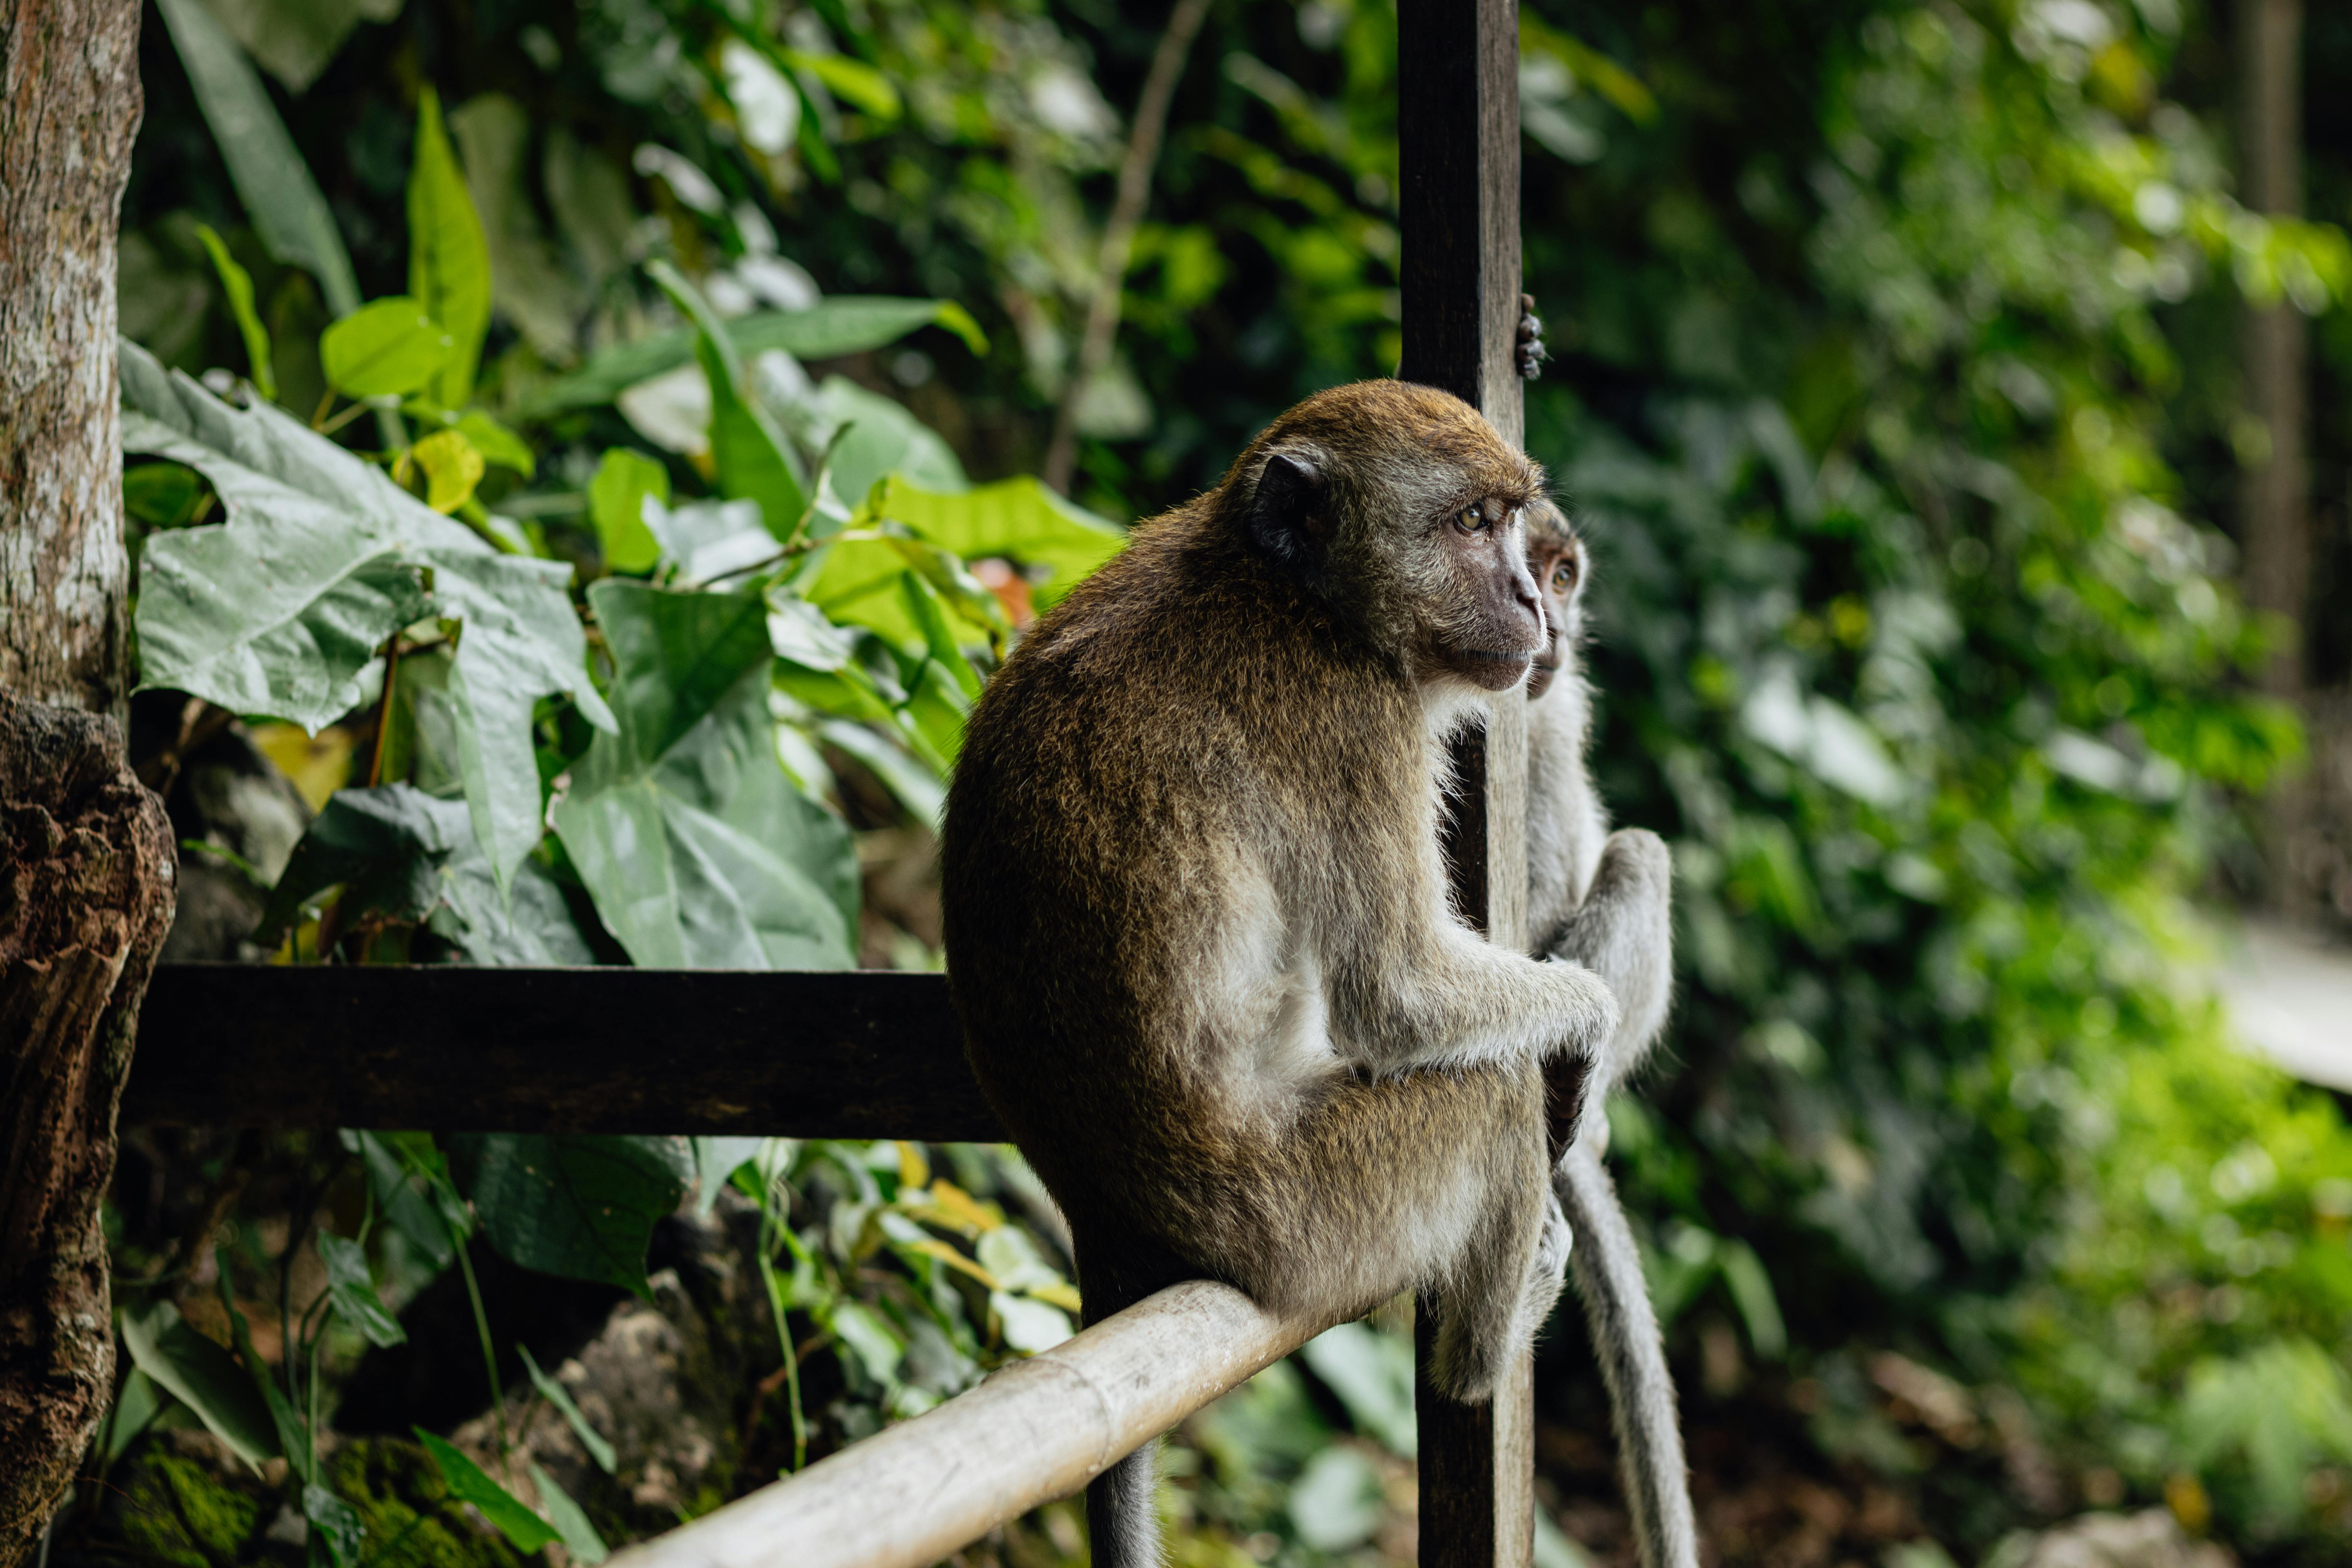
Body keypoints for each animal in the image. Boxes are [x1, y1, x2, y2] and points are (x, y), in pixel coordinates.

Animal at [941, 381, 1621, 1568]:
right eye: (1472, 525)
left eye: (1514, 527)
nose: (1533, 605)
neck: (1294, 594)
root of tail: (1101, 1218)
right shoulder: (1353, 721)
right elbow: (1401, 993)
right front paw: (1589, 1016)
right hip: (1319, 1220)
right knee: (1489, 1096)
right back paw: (1482, 1355)